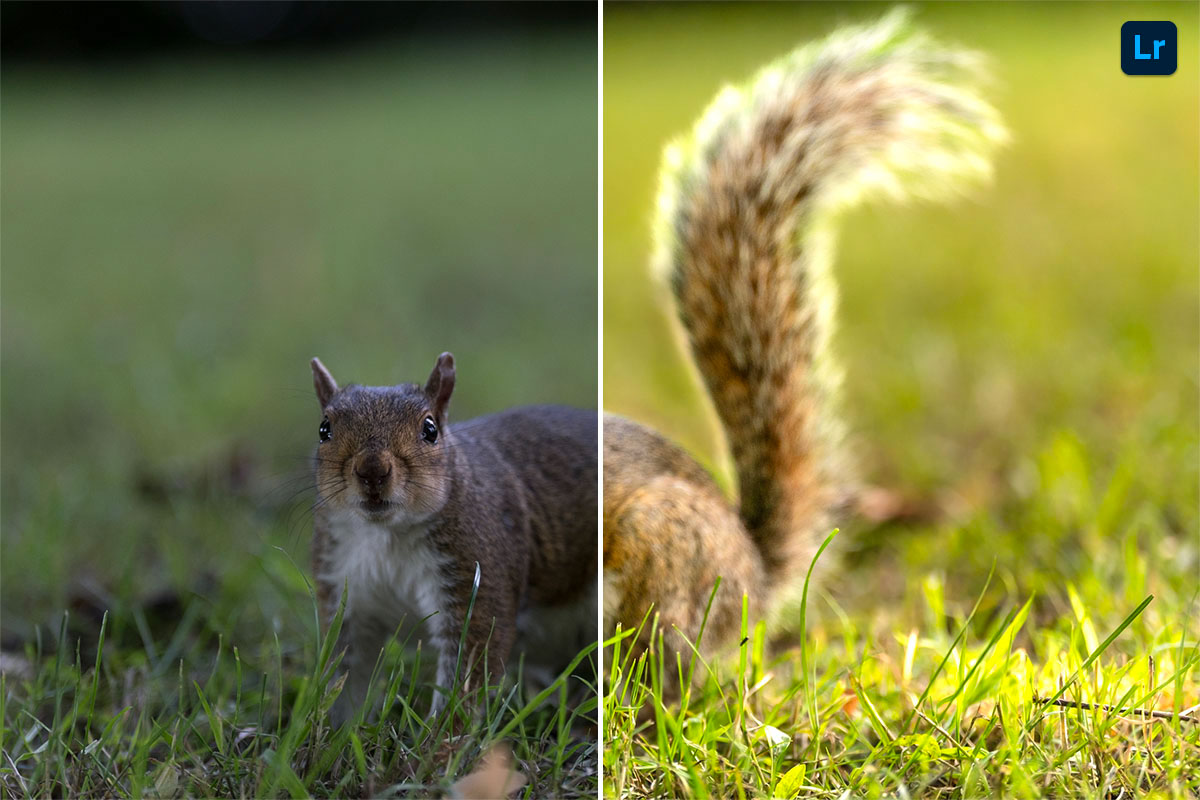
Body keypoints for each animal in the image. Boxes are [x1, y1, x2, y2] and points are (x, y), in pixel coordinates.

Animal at [308, 352, 597, 724]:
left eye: (430, 430)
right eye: (324, 429)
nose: (372, 471)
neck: (387, 535)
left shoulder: (476, 577)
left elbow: (467, 674)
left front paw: (440, 738)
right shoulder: (344, 588)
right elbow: (346, 677)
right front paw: (332, 732)